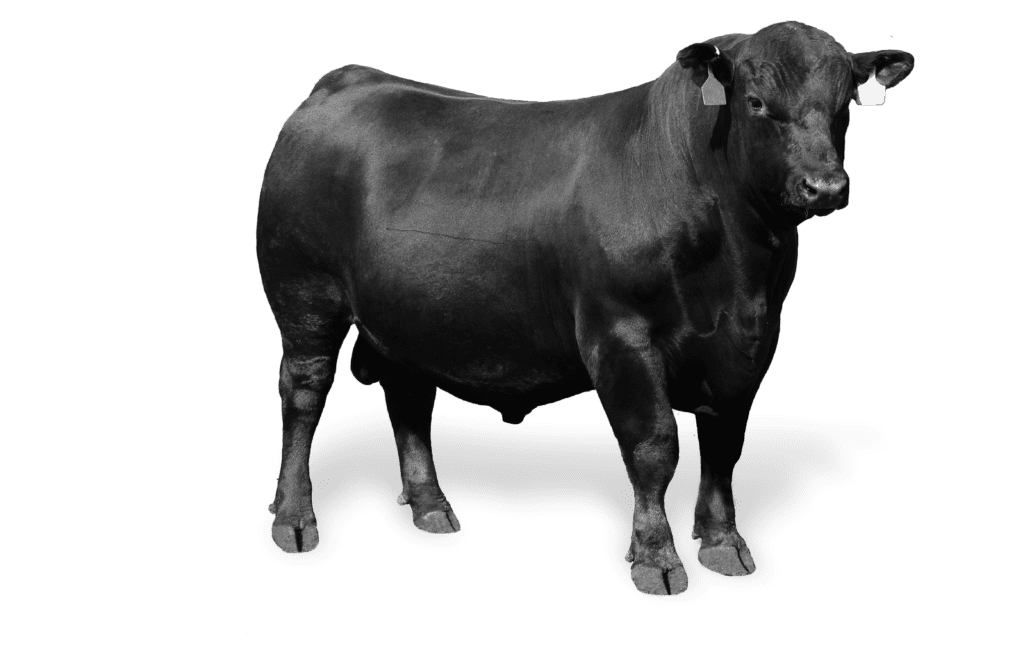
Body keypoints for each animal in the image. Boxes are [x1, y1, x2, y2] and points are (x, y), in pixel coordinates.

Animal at [256, 20, 914, 596]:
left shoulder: (751, 337)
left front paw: (724, 546)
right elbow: (653, 445)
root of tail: (347, 80)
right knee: (303, 393)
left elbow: (724, 442)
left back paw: (430, 508)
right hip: (304, 291)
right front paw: (657, 561)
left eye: (844, 104)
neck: (735, 265)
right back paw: (293, 521)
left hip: (408, 313)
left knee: (410, 399)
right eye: (755, 101)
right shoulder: (618, 331)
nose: (824, 186)